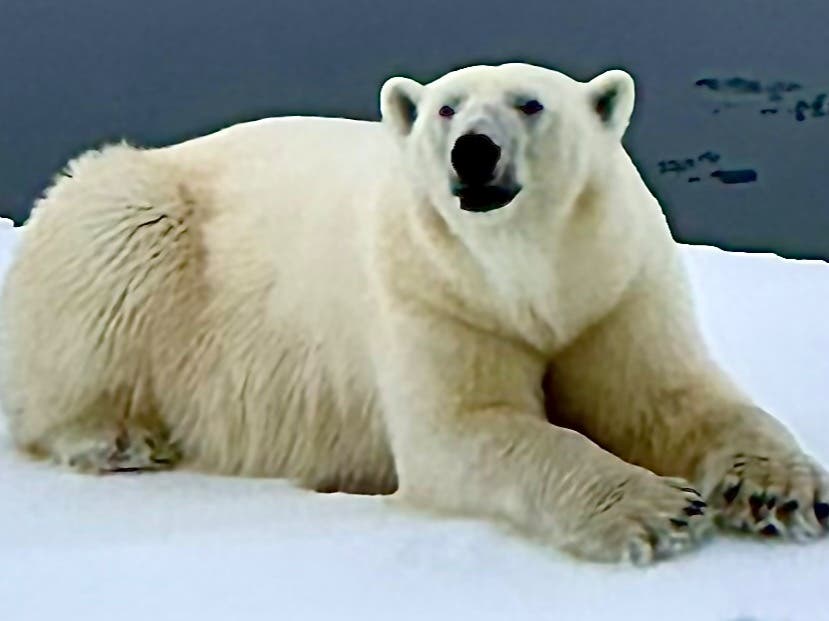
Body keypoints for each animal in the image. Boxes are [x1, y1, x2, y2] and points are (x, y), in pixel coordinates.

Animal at [1, 62, 827, 565]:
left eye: (530, 102)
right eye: (445, 107)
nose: (473, 150)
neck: (524, 274)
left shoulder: (613, 288)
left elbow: (672, 399)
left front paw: (778, 492)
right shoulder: (432, 291)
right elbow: (467, 429)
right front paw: (658, 508)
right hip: (139, 216)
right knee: (106, 261)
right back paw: (118, 437)